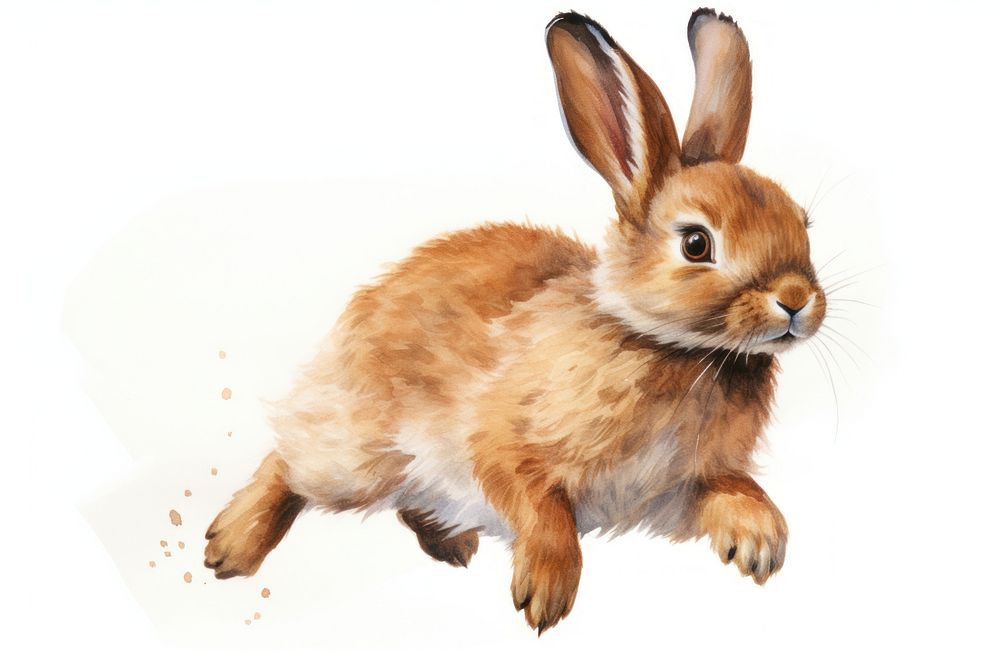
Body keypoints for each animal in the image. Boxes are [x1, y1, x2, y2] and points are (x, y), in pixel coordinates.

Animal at [205, 8, 826, 634]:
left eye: (803, 223)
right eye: (697, 244)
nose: (796, 300)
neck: (678, 349)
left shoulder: (677, 487)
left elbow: (734, 486)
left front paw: (760, 542)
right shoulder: (502, 442)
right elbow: (539, 504)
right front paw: (546, 590)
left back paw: (450, 544)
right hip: (359, 456)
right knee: (287, 460)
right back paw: (230, 546)